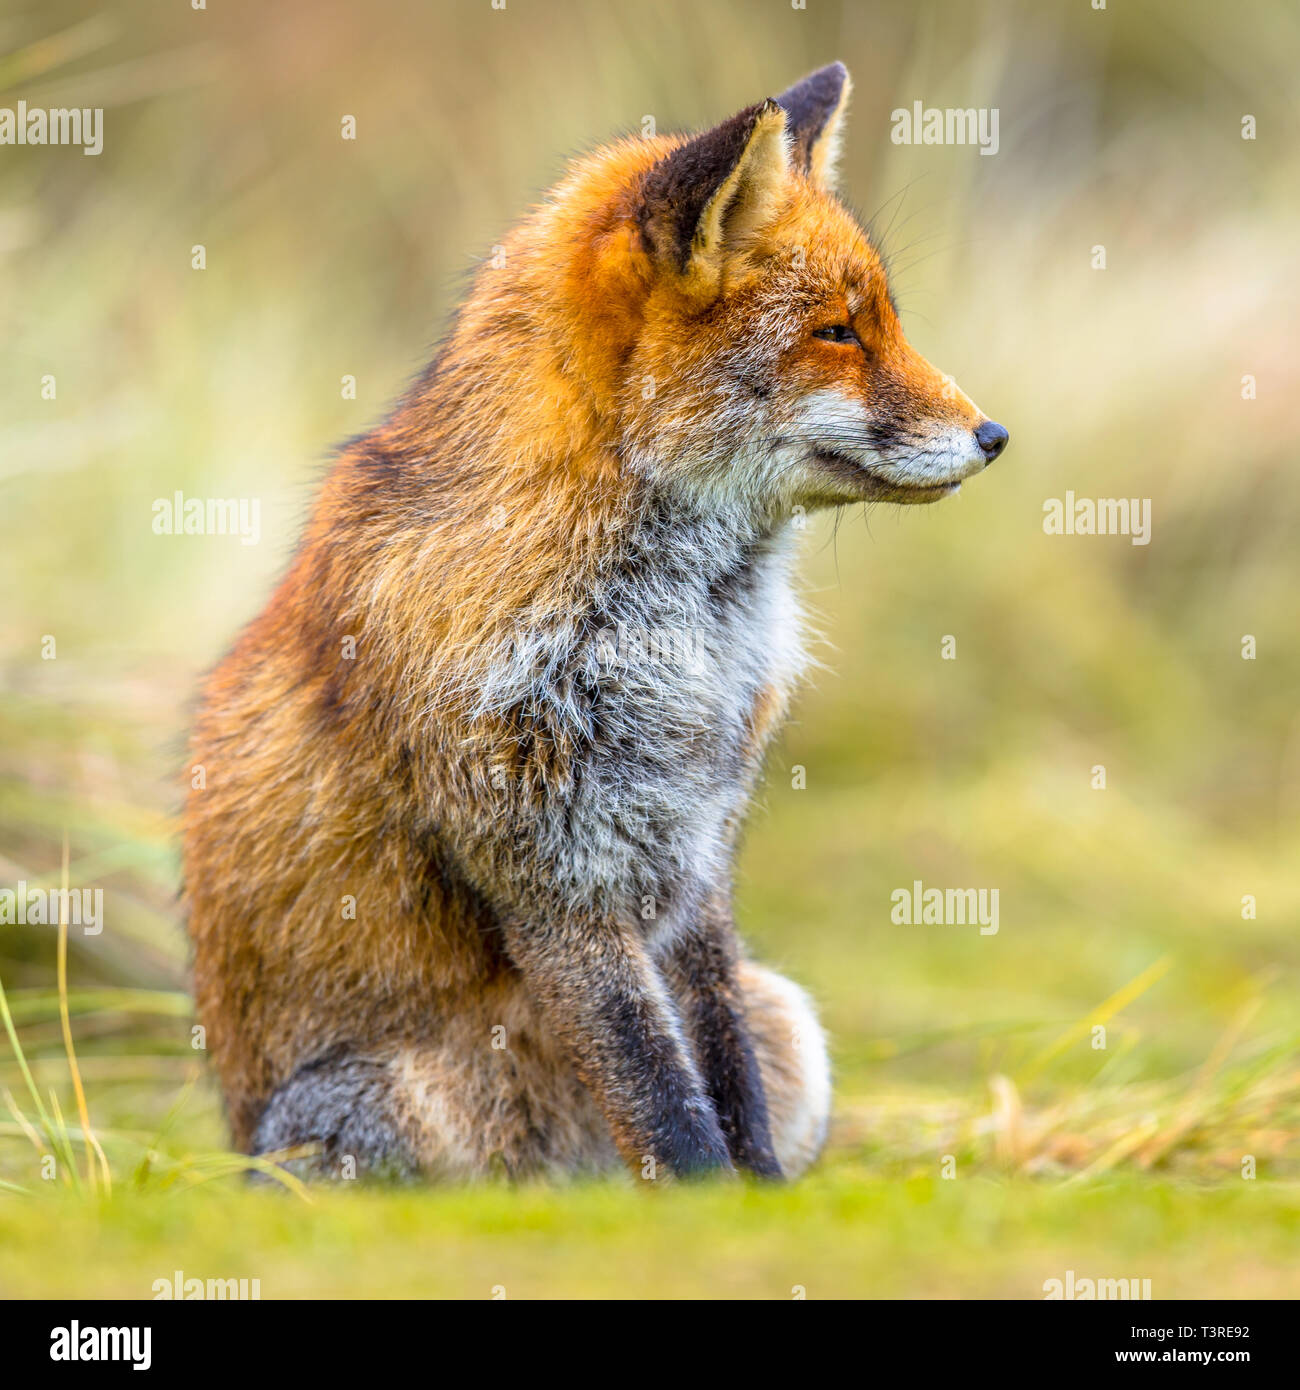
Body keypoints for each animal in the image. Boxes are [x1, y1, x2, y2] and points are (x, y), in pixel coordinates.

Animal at [183, 61, 1008, 1183]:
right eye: (839, 331)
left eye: (882, 319)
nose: (994, 435)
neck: (674, 626)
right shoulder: (547, 863)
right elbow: (663, 1097)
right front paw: (705, 1202)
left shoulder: (697, 852)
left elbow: (721, 1076)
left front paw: (756, 1197)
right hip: (381, 1113)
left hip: (790, 1023)